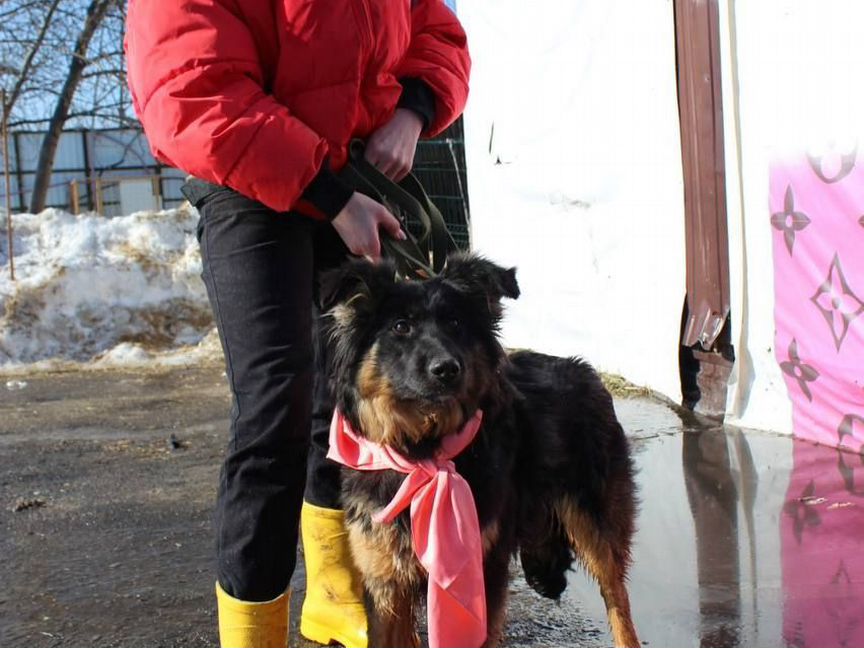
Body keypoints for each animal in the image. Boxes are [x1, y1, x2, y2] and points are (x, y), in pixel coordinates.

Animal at [320, 253, 636, 648]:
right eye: (400, 327)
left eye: (456, 323)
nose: (447, 369)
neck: (424, 449)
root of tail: (584, 369)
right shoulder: (385, 580)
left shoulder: (484, 571)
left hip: (596, 523)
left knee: (618, 602)